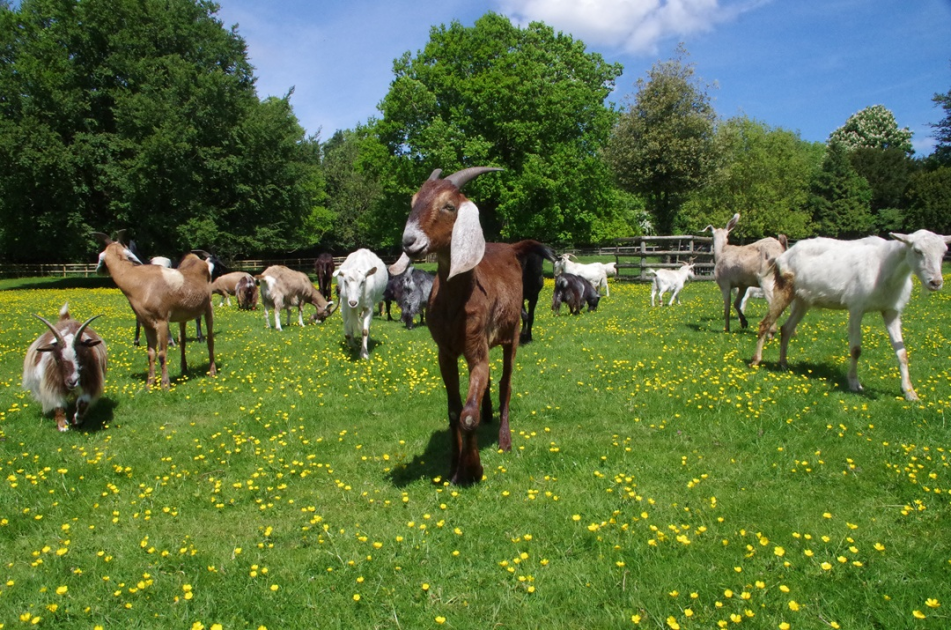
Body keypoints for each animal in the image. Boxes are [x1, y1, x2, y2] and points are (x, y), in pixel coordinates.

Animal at [94, 232, 215, 390]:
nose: (98, 270)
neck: (141, 282)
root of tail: (201, 262)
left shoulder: (162, 320)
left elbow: (162, 353)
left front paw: (165, 384)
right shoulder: (147, 323)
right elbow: (151, 353)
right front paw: (149, 384)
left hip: (208, 308)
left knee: (210, 339)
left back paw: (212, 371)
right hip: (183, 316)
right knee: (182, 340)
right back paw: (184, 368)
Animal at [394, 166, 556, 485]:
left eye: (449, 206)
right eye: (413, 201)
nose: (409, 241)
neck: (455, 301)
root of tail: (512, 247)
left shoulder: (475, 348)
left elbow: (468, 415)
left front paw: (471, 470)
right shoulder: (446, 352)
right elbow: (454, 412)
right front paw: (453, 465)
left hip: (512, 333)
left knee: (505, 383)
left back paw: (504, 439)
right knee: (491, 380)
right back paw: (489, 411)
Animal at [750, 230, 950, 401]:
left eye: (943, 253)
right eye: (917, 251)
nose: (935, 282)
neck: (885, 267)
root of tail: (782, 256)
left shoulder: (891, 311)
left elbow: (902, 352)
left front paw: (910, 392)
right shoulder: (856, 307)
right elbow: (855, 349)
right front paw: (854, 384)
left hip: (802, 300)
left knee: (787, 328)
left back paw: (784, 364)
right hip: (784, 287)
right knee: (765, 323)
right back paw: (756, 361)